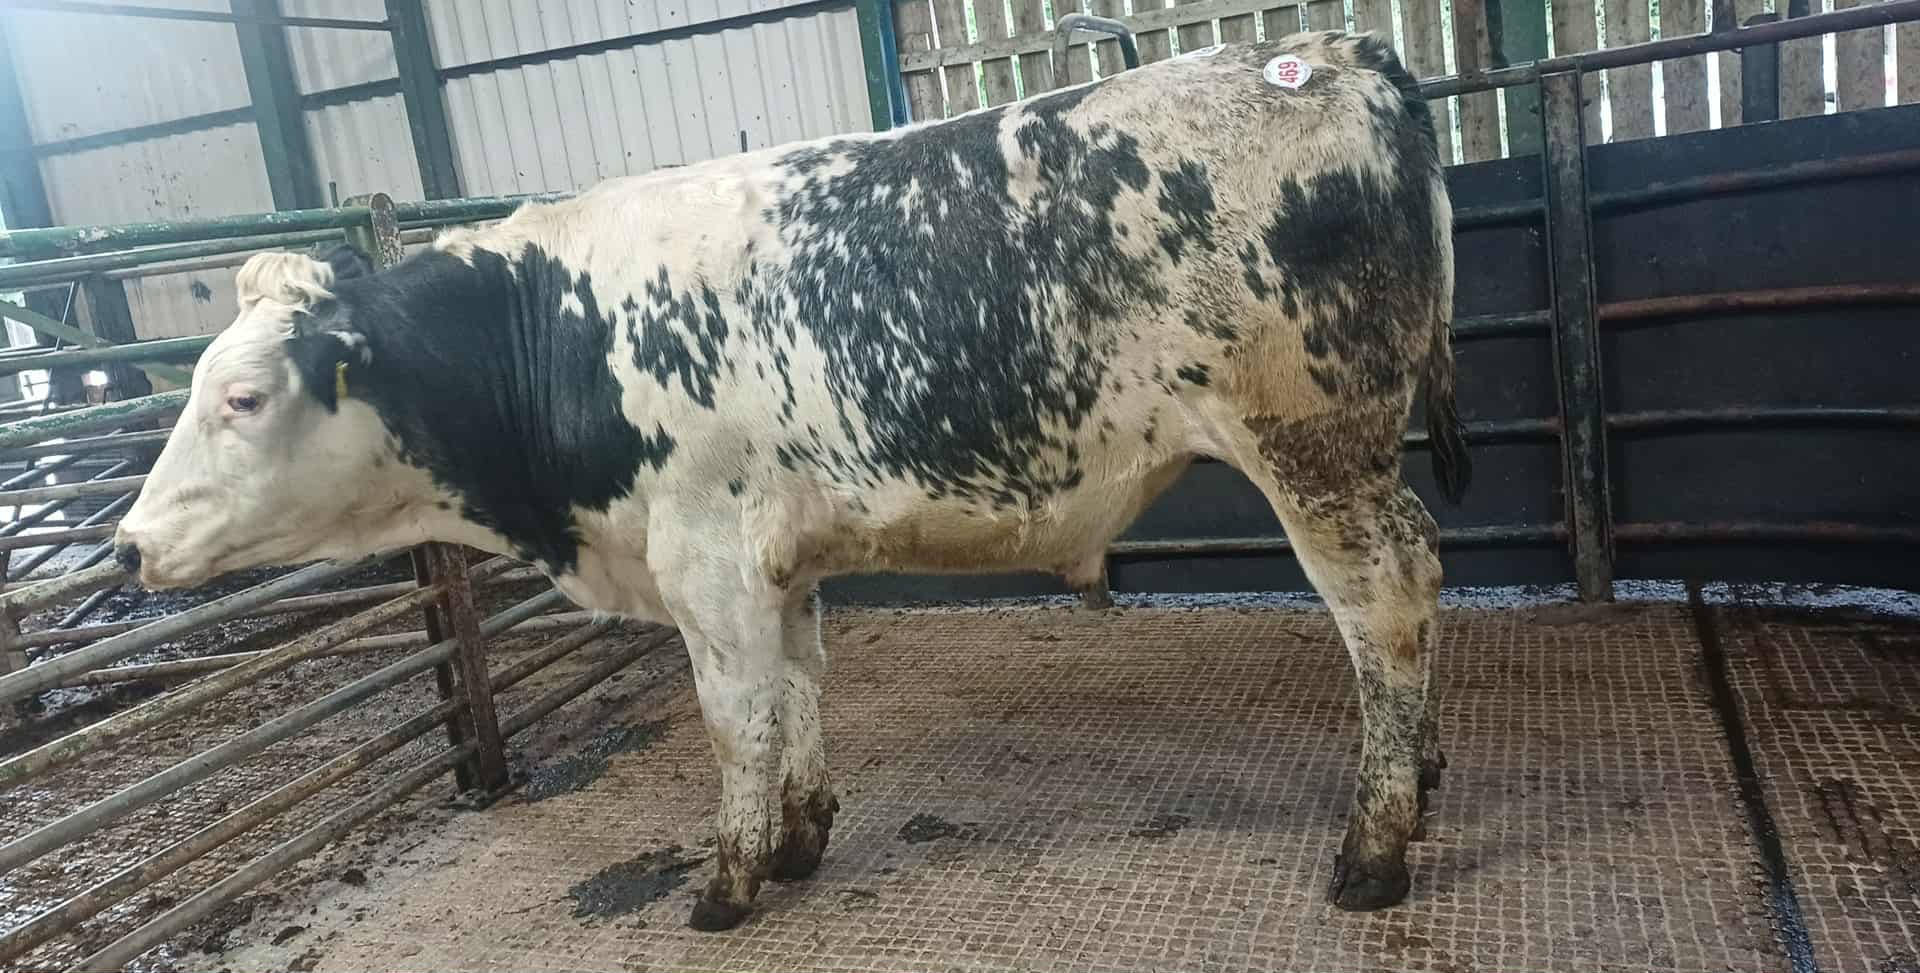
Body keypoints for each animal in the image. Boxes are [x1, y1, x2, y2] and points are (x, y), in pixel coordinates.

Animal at [115, 30, 1470, 930]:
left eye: (243, 398)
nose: (128, 545)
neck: (558, 328)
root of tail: (1335, 56)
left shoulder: (703, 559)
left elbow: (739, 716)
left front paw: (728, 877)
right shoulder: (777, 557)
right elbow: (802, 686)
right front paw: (804, 833)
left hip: (1314, 450)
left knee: (1388, 603)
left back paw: (1376, 843)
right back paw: (1420, 771)